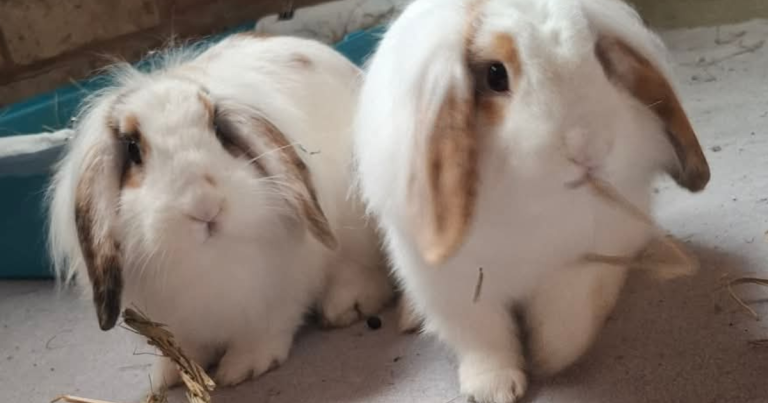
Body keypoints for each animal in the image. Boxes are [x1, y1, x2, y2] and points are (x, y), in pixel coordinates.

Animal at [47, 34, 394, 389]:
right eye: (132, 149)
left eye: (217, 129)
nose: (204, 205)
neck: (210, 261)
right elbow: (186, 348)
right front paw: (169, 375)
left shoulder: (279, 293)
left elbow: (268, 327)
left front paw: (242, 368)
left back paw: (347, 306)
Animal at [352, 0, 710, 401]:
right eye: (495, 75)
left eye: (598, 59)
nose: (588, 149)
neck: (534, 206)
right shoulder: (457, 289)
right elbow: (483, 338)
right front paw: (494, 389)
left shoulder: (586, 263)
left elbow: (567, 319)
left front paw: (550, 360)